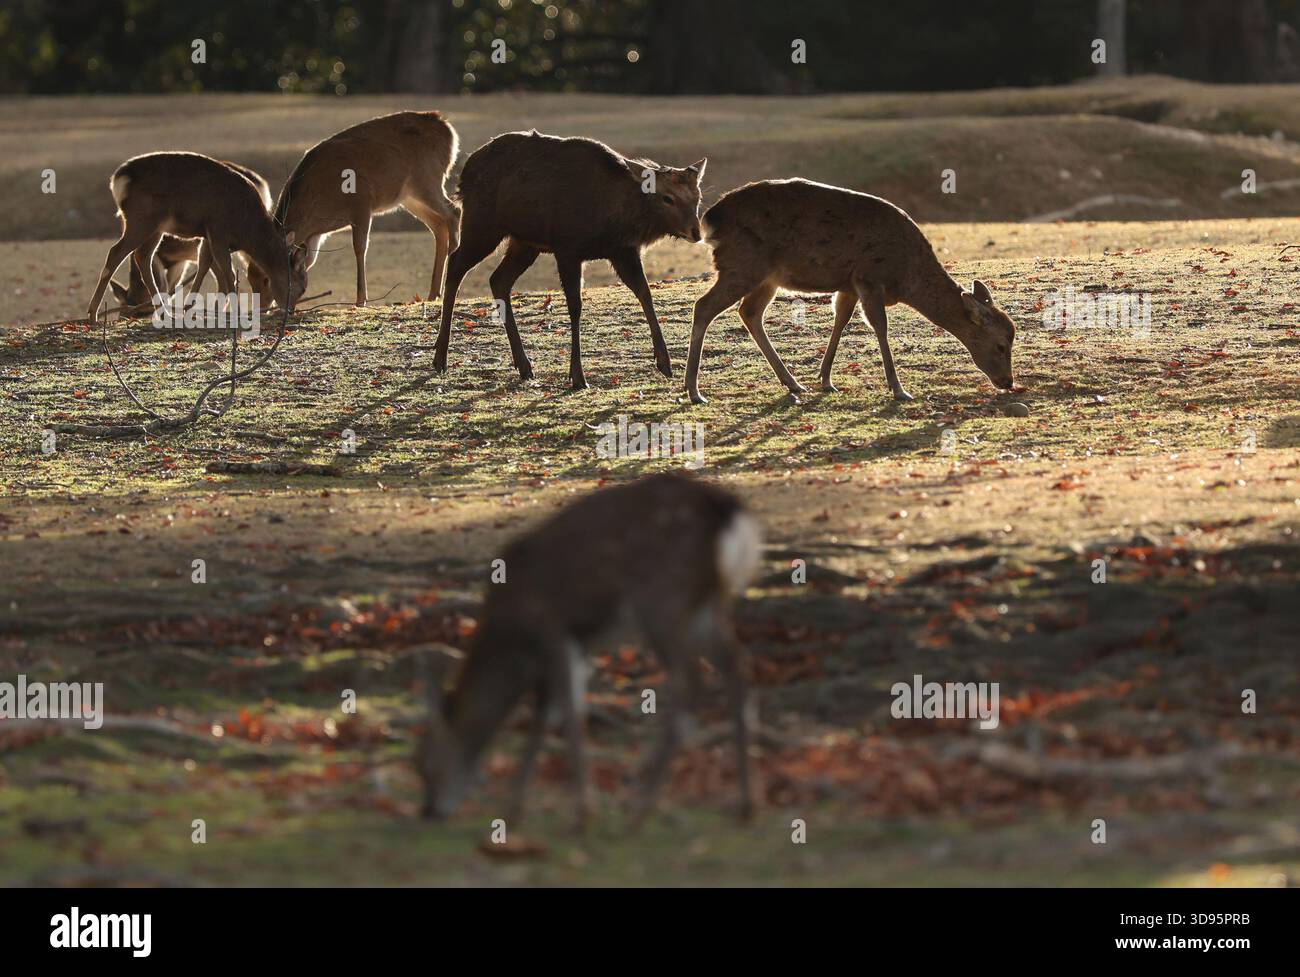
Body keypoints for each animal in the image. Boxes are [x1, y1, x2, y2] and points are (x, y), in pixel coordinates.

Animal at [246, 110, 460, 308]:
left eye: (267, 278)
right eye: (250, 278)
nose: (262, 309)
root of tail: (449, 131)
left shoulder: (362, 204)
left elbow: (360, 248)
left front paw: (360, 300)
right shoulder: (315, 234)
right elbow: (309, 260)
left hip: (427, 180)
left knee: (454, 211)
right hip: (409, 197)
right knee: (439, 226)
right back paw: (433, 293)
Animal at [417, 472, 763, 830]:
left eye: (424, 764)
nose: (428, 810)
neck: (512, 633)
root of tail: (729, 511)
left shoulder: (552, 630)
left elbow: (564, 713)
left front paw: (579, 812)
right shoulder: (577, 645)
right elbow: (551, 714)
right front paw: (518, 809)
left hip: (662, 600)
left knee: (689, 682)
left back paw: (640, 811)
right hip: (707, 608)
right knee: (736, 666)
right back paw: (746, 805)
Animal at [432, 130, 707, 390]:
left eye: (698, 197)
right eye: (667, 197)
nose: (696, 232)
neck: (614, 218)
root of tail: (464, 174)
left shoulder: (623, 252)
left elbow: (645, 294)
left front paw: (665, 362)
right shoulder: (568, 248)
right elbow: (576, 306)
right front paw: (577, 376)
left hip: (524, 243)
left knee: (498, 279)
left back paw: (524, 365)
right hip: (482, 224)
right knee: (456, 264)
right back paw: (440, 357)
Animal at [684, 178, 1017, 404]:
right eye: (1001, 345)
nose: (1008, 382)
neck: (905, 276)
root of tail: (710, 218)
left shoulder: (849, 283)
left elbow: (841, 319)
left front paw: (825, 379)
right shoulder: (869, 276)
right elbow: (880, 326)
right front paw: (899, 389)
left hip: (767, 277)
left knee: (749, 312)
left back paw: (793, 384)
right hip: (743, 265)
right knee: (704, 306)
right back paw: (694, 390)